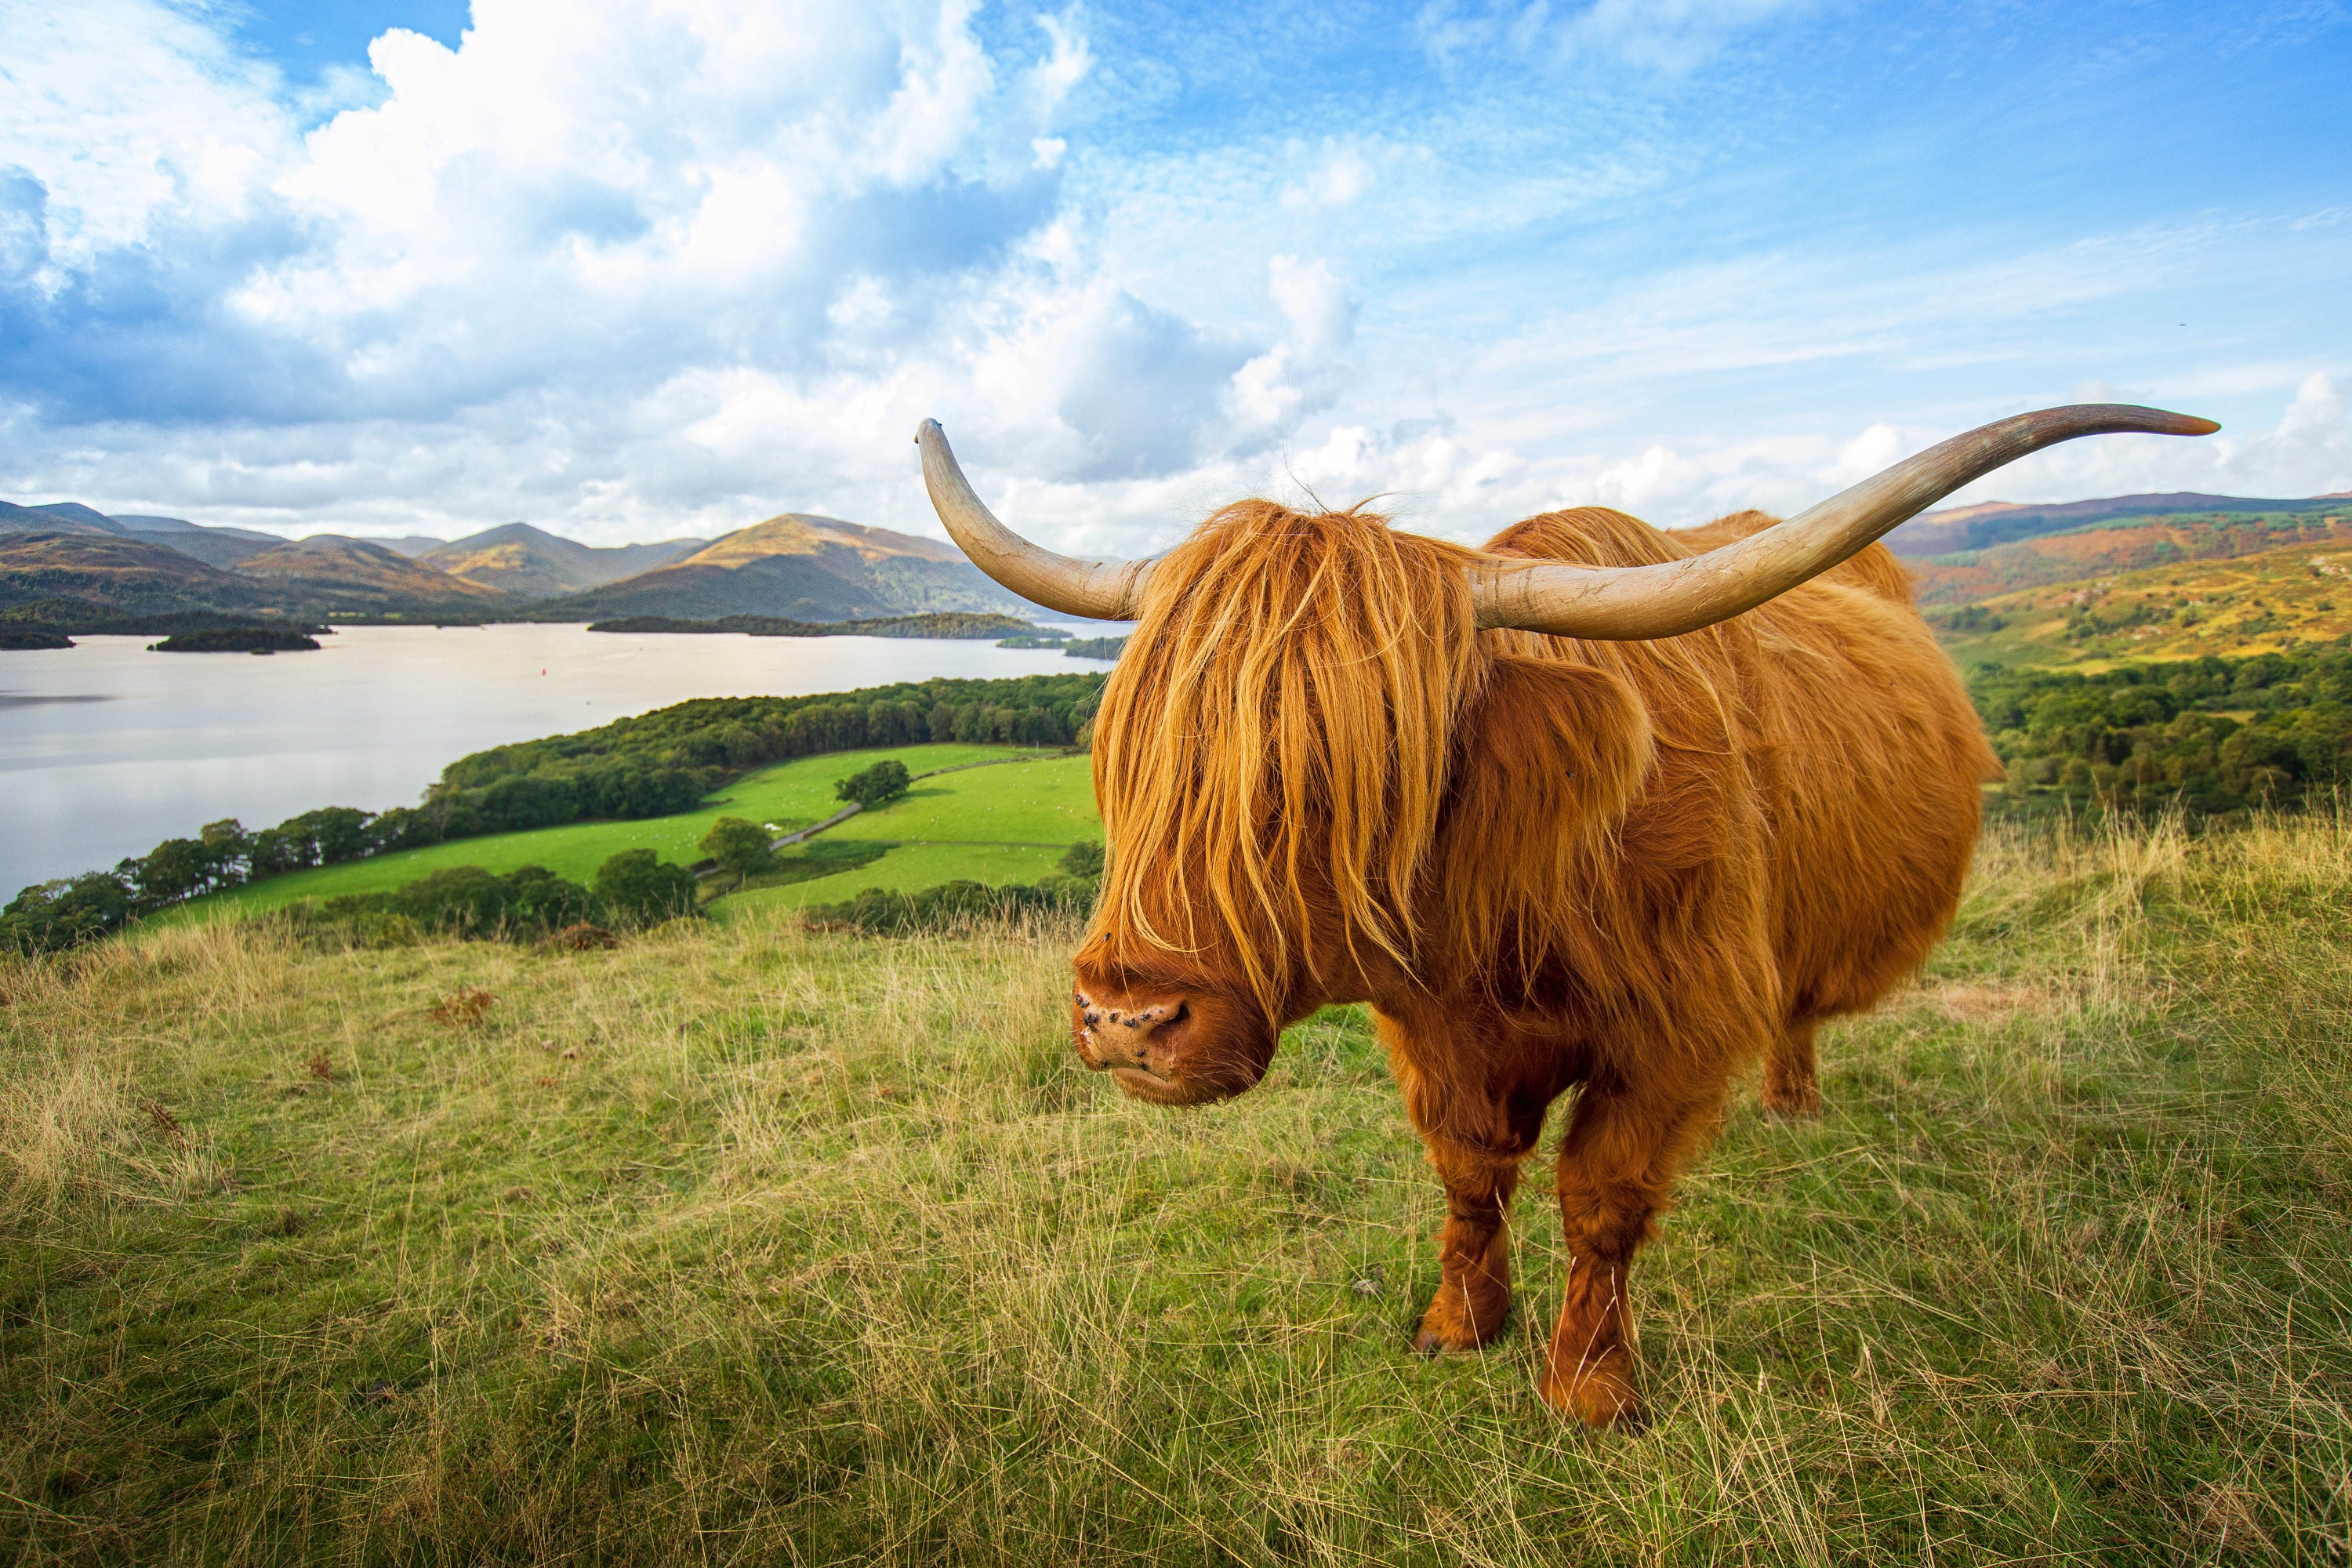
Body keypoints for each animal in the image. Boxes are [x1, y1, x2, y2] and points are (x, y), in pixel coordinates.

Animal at [910, 405, 2216, 1427]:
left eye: (1350, 769)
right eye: (1128, 757)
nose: (1128, 1018)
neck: (1506, 926)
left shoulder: (1682, 1025)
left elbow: (1603, 1197)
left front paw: (1589, 1387)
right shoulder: (1430, 1032)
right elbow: (1469, 1174)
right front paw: (1458, 1324)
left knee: (1796, 1010)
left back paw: (1792, 1102)